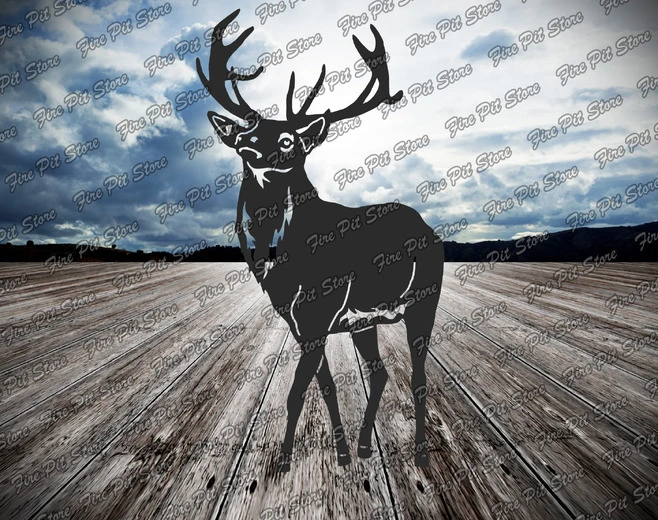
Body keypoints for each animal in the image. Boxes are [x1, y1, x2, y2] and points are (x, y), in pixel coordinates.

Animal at [197, 9, 444, 472]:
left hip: (425, 299)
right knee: (380, 372)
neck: (282, 262)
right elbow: (325, 386)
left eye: (288, 139)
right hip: (365, 319)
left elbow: (296, 392)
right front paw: (342, 453)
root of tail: (430, 229)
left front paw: (282, 460)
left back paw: (421, 452)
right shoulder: (301, 324)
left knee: (418, 377)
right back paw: (365, 446)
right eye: (246, 136)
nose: (251, 151)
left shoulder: (317, 314)